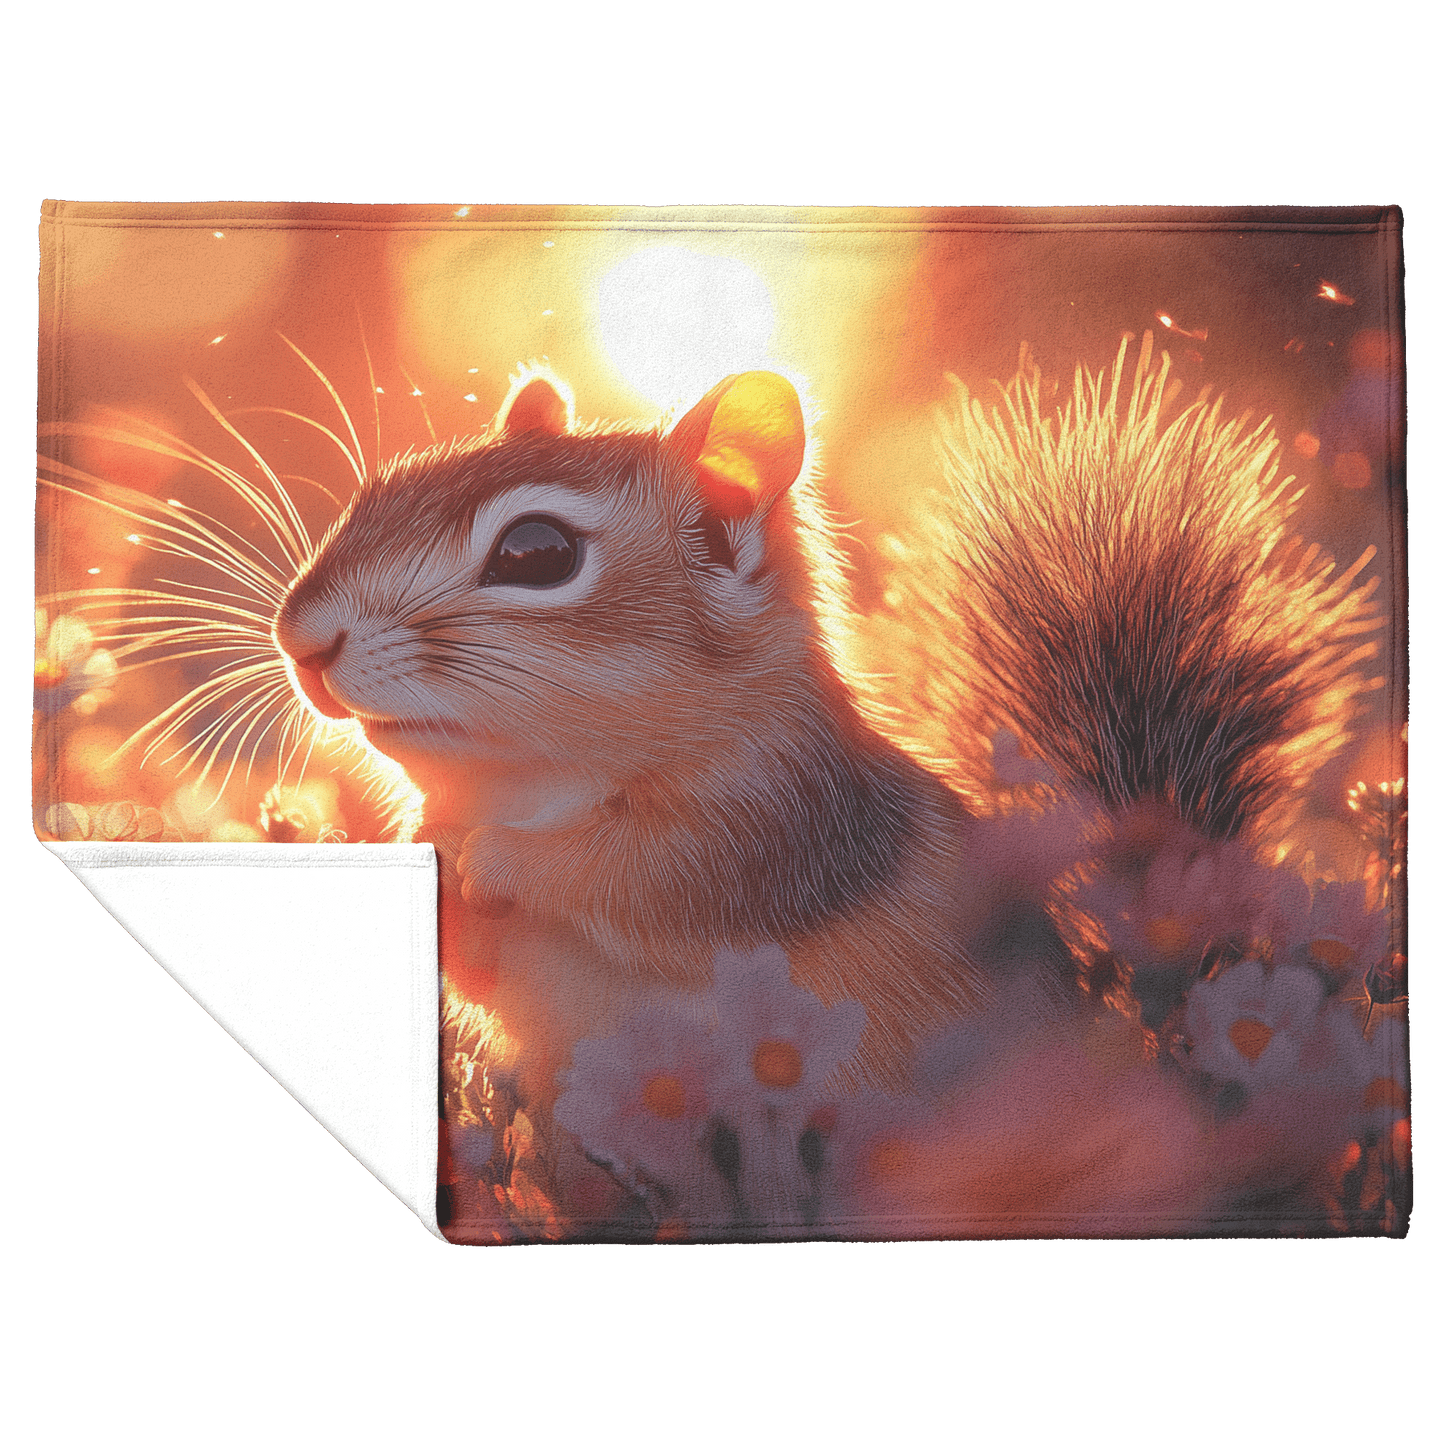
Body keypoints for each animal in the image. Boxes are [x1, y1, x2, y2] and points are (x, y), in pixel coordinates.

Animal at [272, 336, 1379, 1110]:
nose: (299, 636)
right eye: (380, 487)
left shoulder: (782, 828)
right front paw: (425, 854)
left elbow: (637, 873)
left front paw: (494, 855)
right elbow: (477, 964)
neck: (533, 784)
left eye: (536, 551)